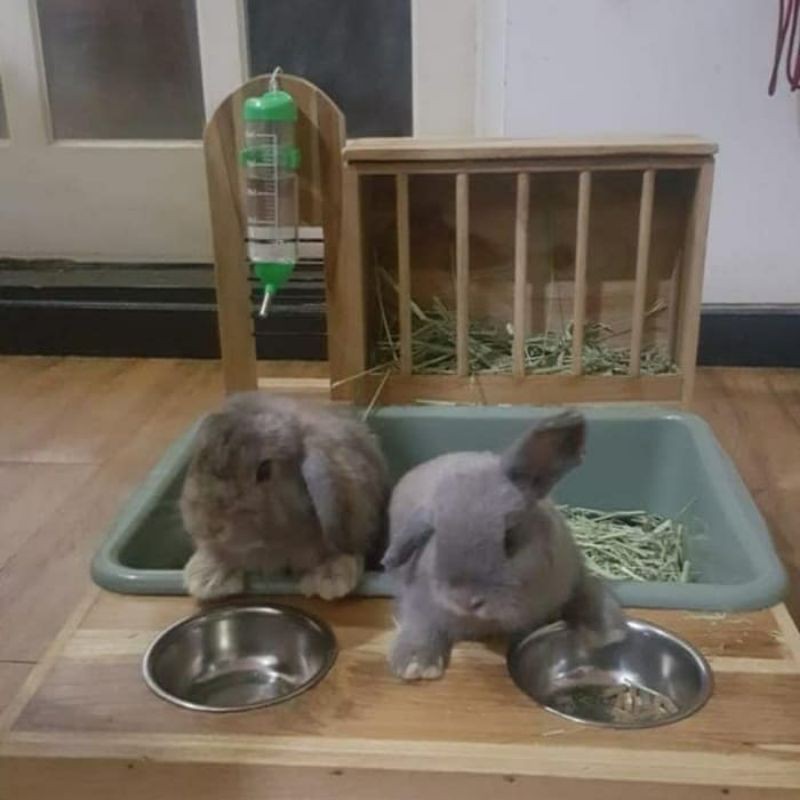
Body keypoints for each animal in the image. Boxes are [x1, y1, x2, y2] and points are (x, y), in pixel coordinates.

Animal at [382, 410, 626, 681]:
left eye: (509, 537)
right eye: (434, 534)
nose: (465, 600)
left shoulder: (574, 575)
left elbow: (589, 592)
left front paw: (608, 634)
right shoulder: (417, 600)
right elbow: (420, 623)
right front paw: (415, 665)